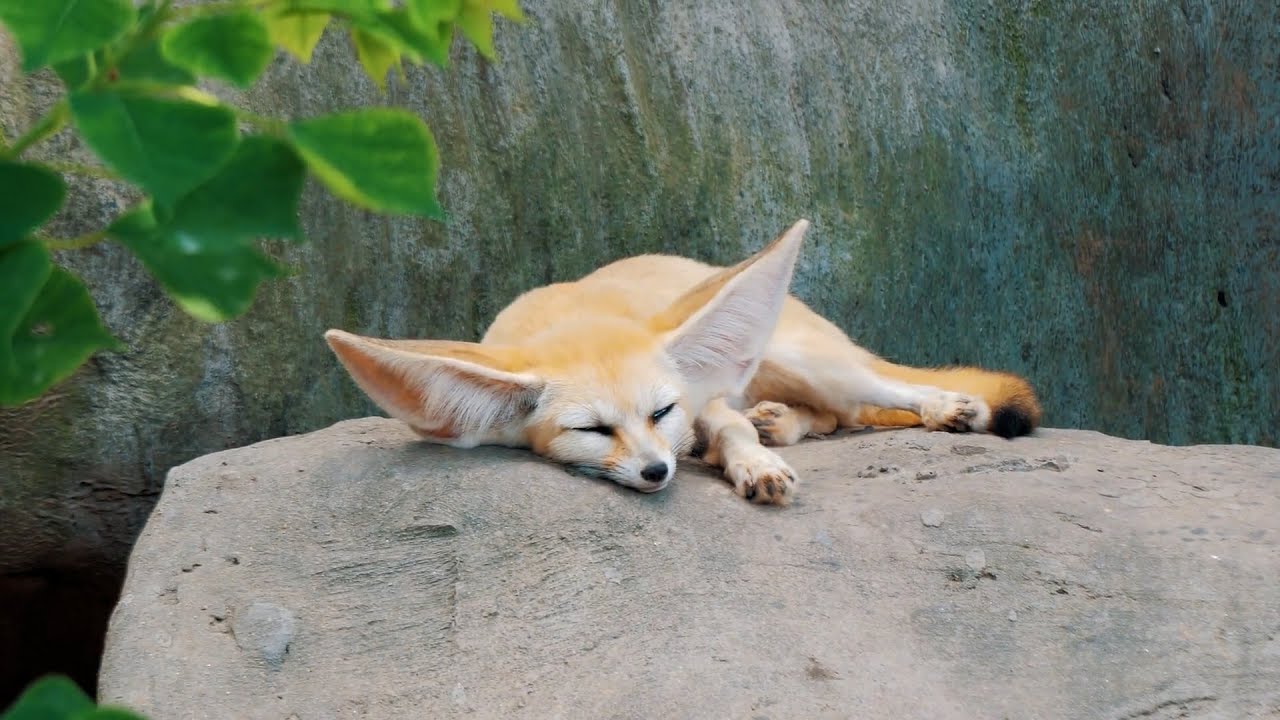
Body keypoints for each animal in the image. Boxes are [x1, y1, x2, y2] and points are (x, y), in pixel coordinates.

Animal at [324, 219, 1041, 506]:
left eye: (661, 410)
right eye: (593, 430)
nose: (656, 470)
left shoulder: (704, 400)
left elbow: (731, 429)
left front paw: (754, 465)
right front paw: (753, 451)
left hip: (802, 355)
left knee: (877, 390)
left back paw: (950, 407)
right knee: (841, 415)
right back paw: (786, 422)